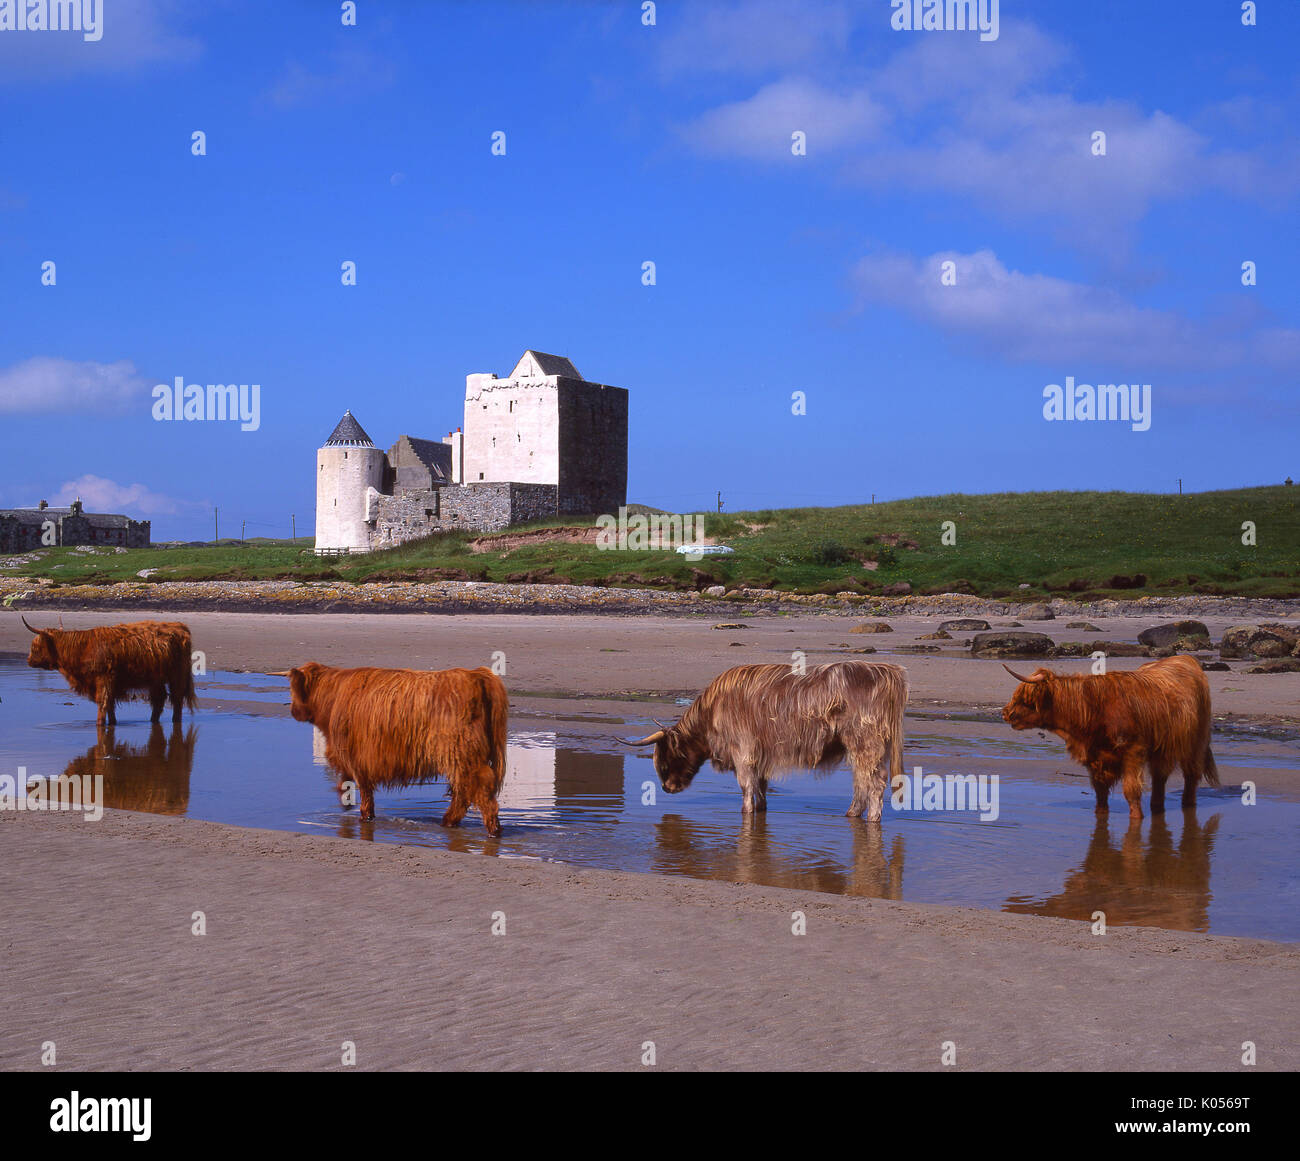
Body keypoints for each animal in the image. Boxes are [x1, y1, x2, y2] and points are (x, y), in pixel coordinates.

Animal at [23, 617, 197, 728]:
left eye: (35, 646)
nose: (28, 660)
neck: (82, 649)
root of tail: (180, 626)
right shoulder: (110, 682)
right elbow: (111, 704)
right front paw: (112, 723)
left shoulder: (104, 678)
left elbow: (103, 703)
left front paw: (100, 724)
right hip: (156, 678)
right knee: (159, 699)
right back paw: (153, 721)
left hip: (178, 674)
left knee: (176, 699)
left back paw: (175, 720)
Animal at [278, 661, 508, 835]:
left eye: (292, 690)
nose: (293, 710)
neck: (332, 699)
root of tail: (475, 675)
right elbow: (349, 782)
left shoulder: (356, 756)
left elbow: (364, 790)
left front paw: (363, 815)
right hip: (462, 757)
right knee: (463, 791)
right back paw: (449, 822)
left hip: (461, 753)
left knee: (479, 787)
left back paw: (491, 829)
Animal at [622, 661, 908, 820]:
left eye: (664, 762)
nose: (666, 788)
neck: (712, 712)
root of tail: (886, 670)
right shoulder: (760, 755)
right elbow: (760, 788)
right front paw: (761, 810)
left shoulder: (743, 751)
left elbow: (746, 787)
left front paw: (747, 813)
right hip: (863, 746)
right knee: (861, 780)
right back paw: (851, 815)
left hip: (865, 741)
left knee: (874, 782)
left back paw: (872, 819)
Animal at [1001, 654, 1219, 819]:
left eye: (1025, 699)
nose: (1005, 712)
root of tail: (1184, 658)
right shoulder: (1094, 758)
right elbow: (1100, 793)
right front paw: (1100, 814)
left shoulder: (1133, 751)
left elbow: (1131, 791)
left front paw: (1137, 819)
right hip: (1162, 749)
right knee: (1160, 778)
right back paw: (1157, 807)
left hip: (1196, 742)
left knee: (1191, 775)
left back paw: (1188, 805)